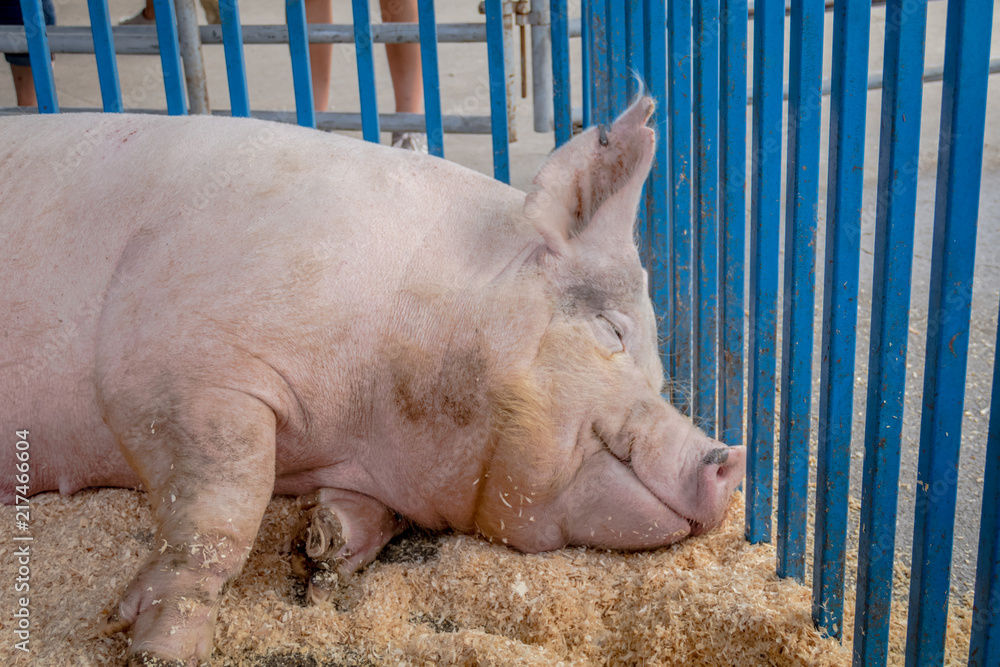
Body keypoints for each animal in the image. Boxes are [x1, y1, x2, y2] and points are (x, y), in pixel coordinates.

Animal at [0, 97, 745, 665]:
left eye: (661, 373)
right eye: (613, 331)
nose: (728, 456)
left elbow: (357, 519)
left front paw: (323, 549)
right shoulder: (174, 370)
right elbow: (221, 512)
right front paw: (160, 648)